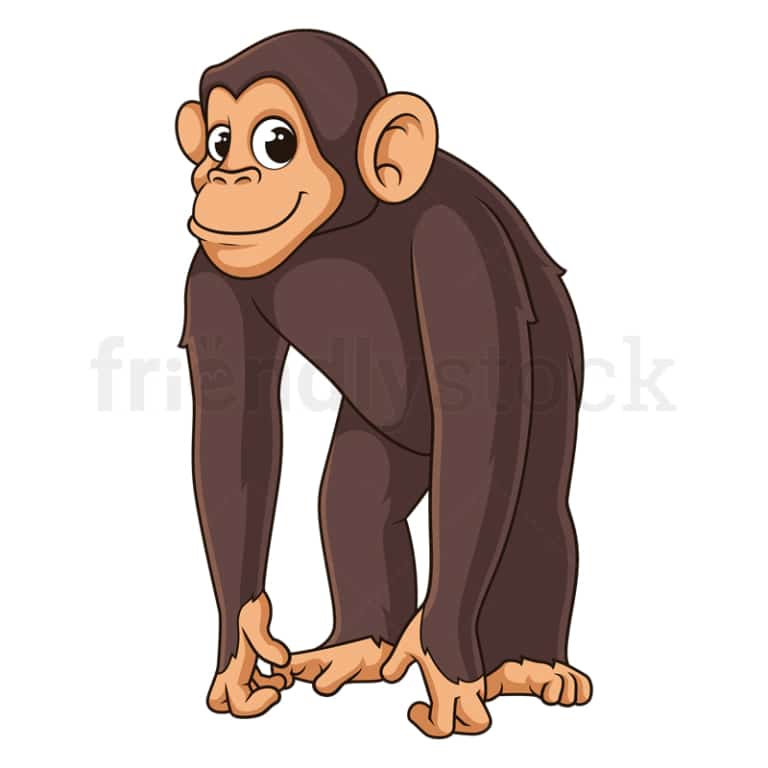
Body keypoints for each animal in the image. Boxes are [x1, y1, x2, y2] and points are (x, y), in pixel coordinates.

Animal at [176, 30, 591, 736]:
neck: (344, 229)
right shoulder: (209, 272)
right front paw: (240, 654)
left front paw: (443, 663)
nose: (229, 176)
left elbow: (477, 422)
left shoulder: (458, 243)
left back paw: (525, 665)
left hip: (558, 365)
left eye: (276, 141)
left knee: (533, 507)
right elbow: (235, 440)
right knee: (354, 495)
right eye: (221, 140)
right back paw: (360, 647)